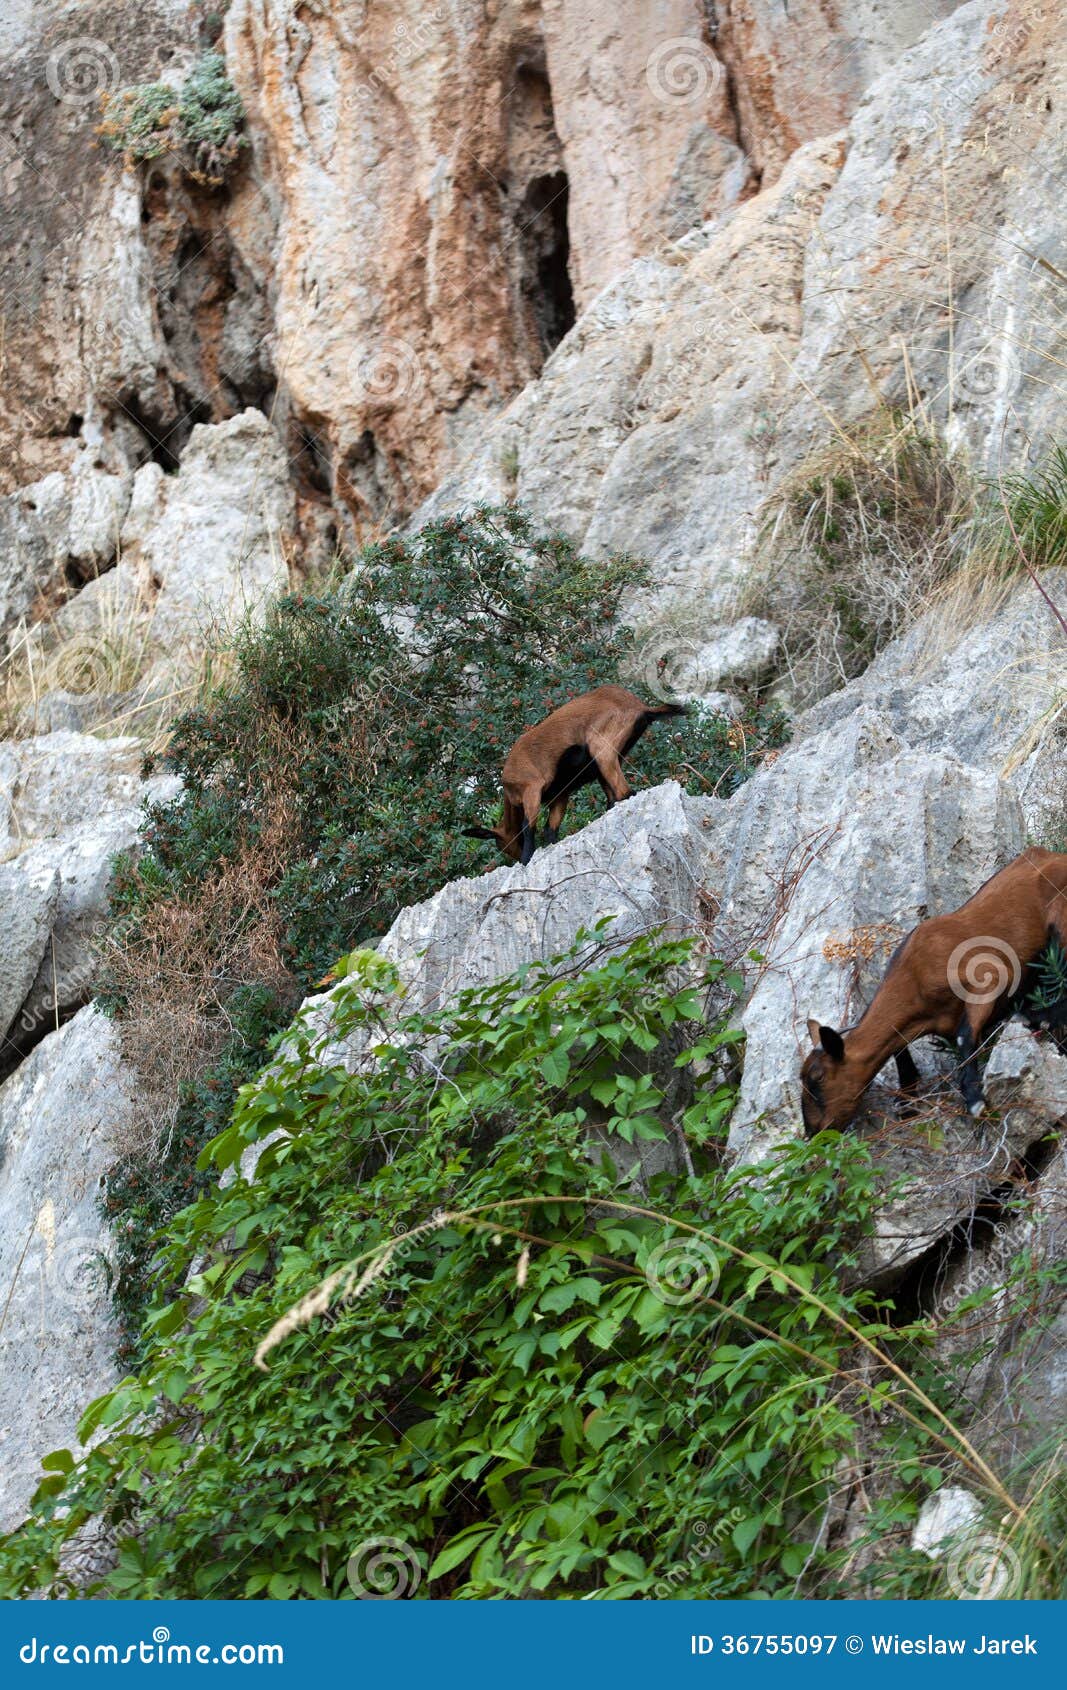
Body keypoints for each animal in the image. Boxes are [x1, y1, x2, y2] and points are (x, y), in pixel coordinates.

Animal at [462, 684, 687, 866]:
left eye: (506, 842)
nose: (517, 859)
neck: (511, 791)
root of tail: (639, 707)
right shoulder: (560, 795)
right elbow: (550, 829)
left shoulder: (531, 788)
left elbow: (528, 826)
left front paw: (527, 860)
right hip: (610, 758)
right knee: (614, 795)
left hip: (602, 748)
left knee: (624, 792)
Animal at [800, 846, 1067, 1134]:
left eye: (818, 1078)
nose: (812, 1132)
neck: (914, 977)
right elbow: (900, 1048)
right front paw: (907, 1099)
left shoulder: (991, 975)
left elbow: (964, 1035)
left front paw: (974, 1100)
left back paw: (1035, 1016)